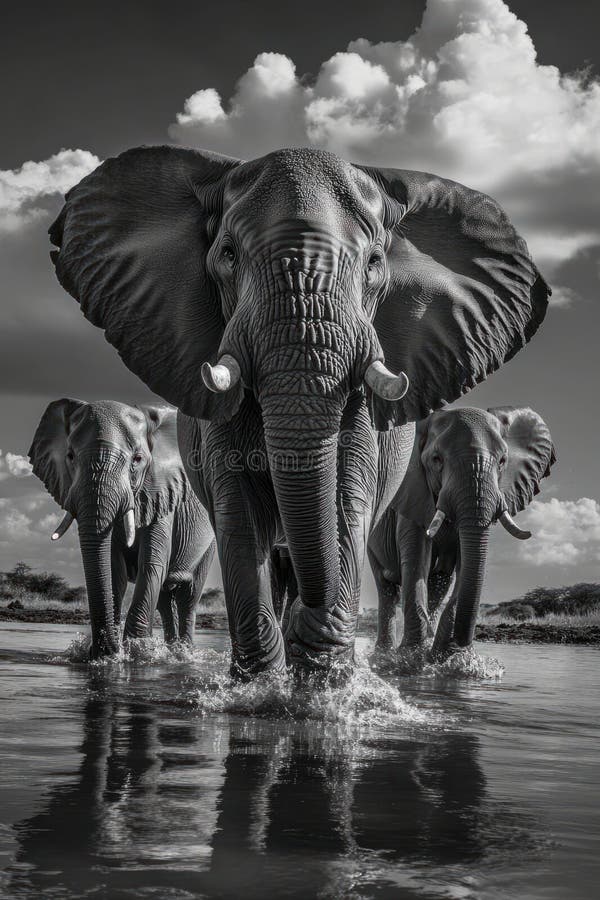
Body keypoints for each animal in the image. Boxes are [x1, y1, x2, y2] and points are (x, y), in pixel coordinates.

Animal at [29, 399, 215, 657]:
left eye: (137, 459)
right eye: (70, 456)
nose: (104, 649)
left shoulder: (162, 496)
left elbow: (151, 563)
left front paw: (138, 654)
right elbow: (113, 567)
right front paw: (113, 656)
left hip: (209, 544)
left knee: (188, 596)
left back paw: (183, 654)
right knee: (164, 599)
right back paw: (170, 651)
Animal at [368, 406, 556, 656]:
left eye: (503, 461)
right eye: (436, 460)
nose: (460, 643)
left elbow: (465, 563)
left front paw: (443, 657)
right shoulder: (411, 497)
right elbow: (417, 559)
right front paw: (410, 658)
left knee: (439, 585)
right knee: (386, 589)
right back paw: (383, 656)